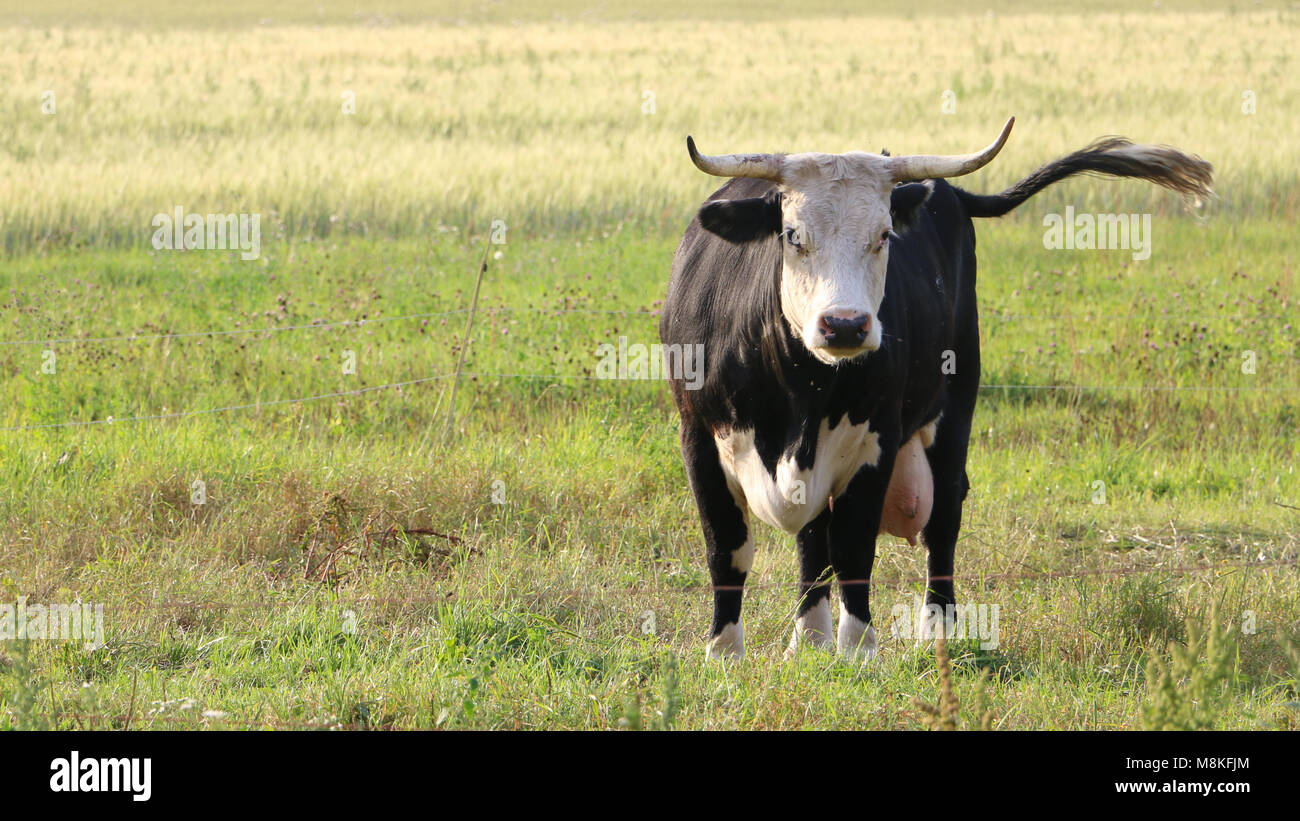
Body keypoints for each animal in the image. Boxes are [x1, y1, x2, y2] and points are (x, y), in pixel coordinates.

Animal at [658, 118, 1212, 660]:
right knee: (813, 539)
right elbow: (727, 547)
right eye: (793, 236)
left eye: (883, 236)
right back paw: (810, 639)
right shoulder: (697, 436)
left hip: (956, 407)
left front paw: (858, 651)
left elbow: (854, 547)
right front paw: (725, 652)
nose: (845, 326)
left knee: (943, 519)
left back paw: (937, 628)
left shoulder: (877, 439)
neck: (801, 391)